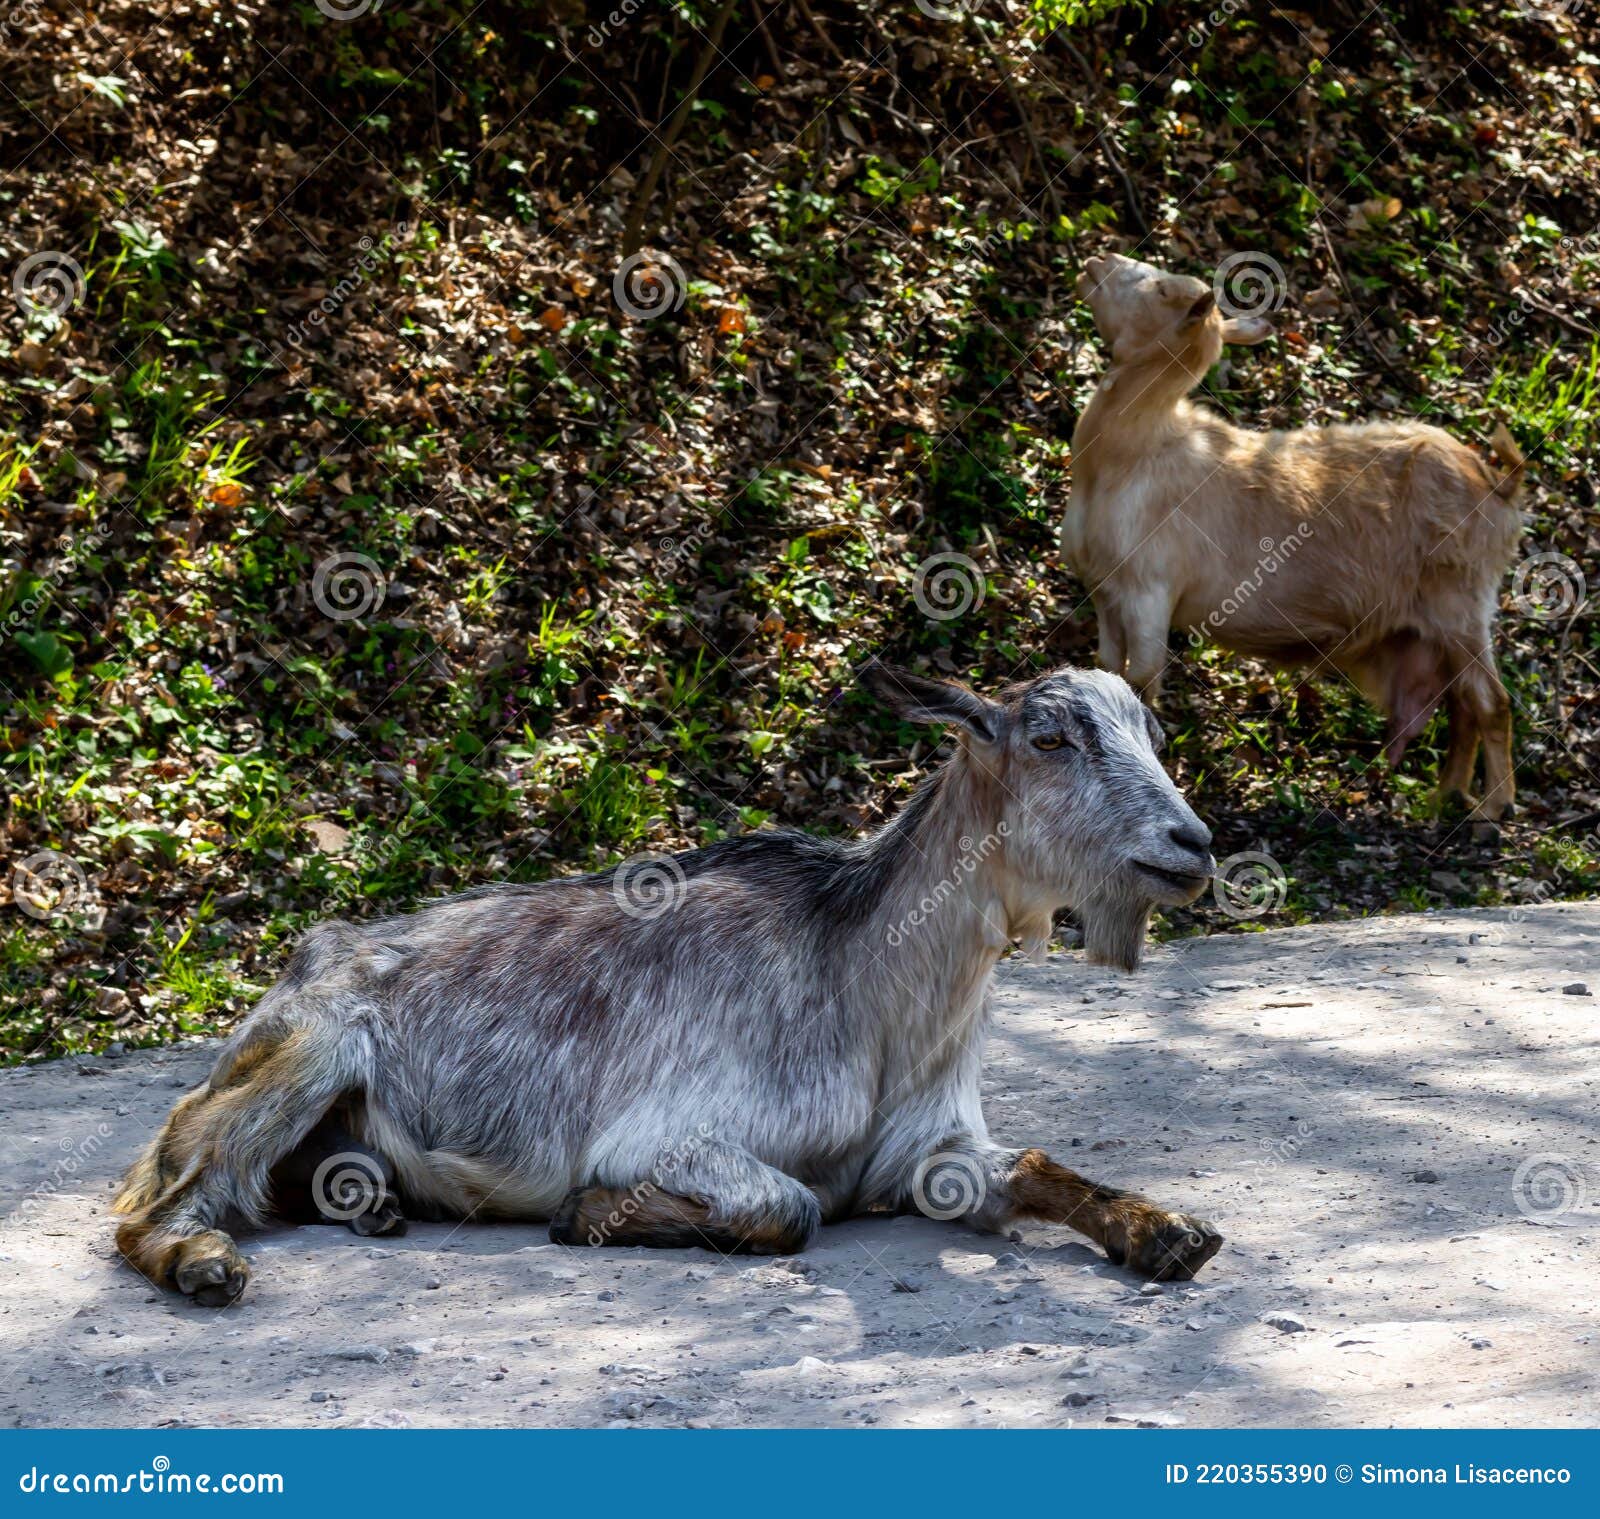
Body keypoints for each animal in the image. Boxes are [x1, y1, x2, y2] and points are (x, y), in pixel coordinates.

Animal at [113, 662, 1223, 1306]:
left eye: (1152, 736)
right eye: (1051, 739)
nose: (1193, 843)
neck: (866, 974)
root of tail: (315, 950)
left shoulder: (933, 1150)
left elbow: (1034, 1164)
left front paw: (1167, 1229)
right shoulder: (667, 1133)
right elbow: (790, 1206)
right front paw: (588, 1213)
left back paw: (371, 1197)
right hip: (309, 1051)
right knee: (156, 1191)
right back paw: (203, 1260)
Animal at [1060, 251, 1525, 820]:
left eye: (1163, 287)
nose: (1096, 261)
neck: (1133, 453)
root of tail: (1497, 484)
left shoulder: (1149, 593)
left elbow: (1141, 679)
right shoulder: (1105, 590)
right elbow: (1108, 669)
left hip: (1461, 606)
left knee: (1490, 702)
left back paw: (1491, 809)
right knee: (1462, 706)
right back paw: (1446, 798)